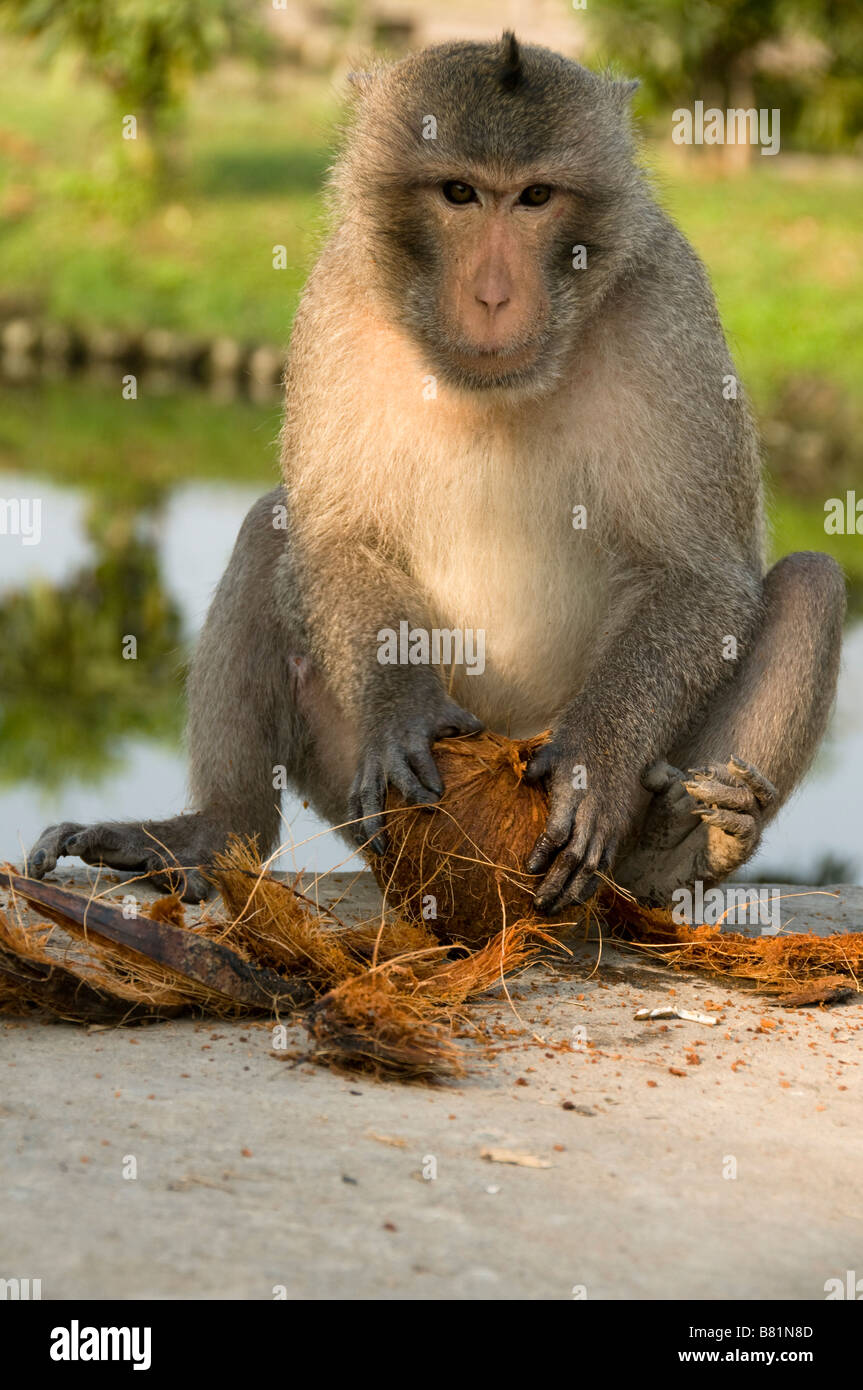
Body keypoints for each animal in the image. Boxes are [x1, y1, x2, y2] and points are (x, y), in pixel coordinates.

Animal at [27, 33, 845, 915]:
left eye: (534, 197)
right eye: (458, 193)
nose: (491, 295)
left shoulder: (669, 306)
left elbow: (698, 574)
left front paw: (595, 759)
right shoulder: (337, 296)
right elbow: (334, 533)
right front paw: (401, 707)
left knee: (810, 581)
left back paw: (676, 849)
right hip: (356, 796)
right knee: (269, 534)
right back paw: (212, 833)